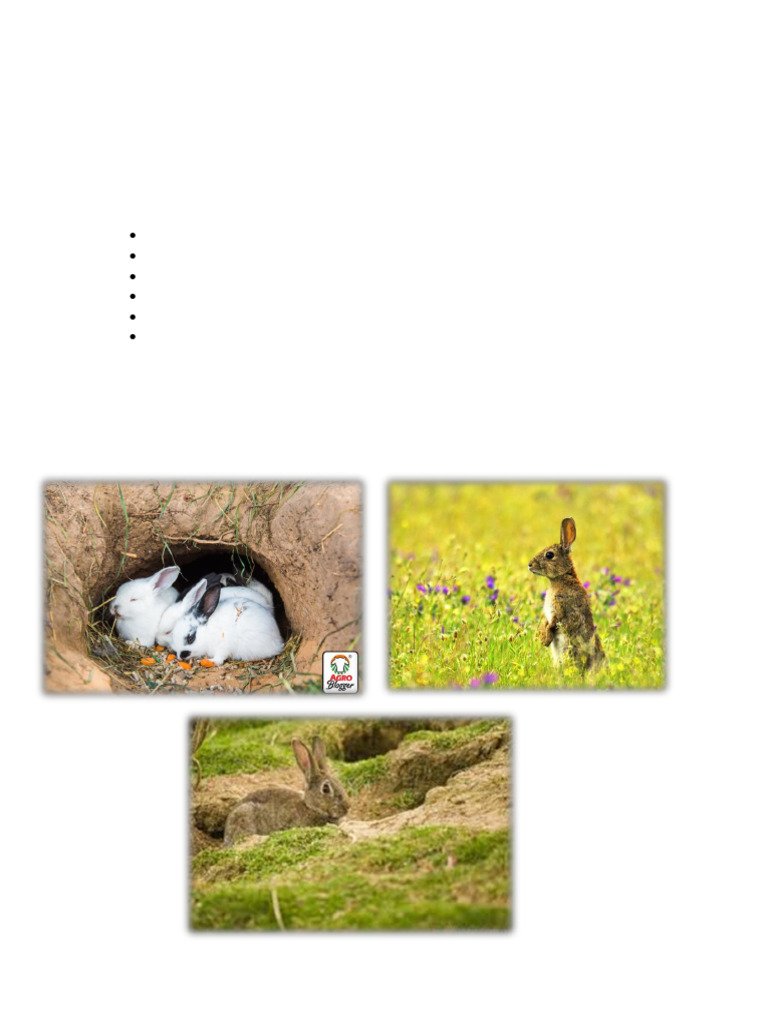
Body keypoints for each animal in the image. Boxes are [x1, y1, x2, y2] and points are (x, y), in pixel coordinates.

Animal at [528, 517, 606, 672]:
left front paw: (545, 640)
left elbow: (554, 623)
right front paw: (542, 636)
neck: (562, 578)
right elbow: (547, 622)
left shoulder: (563, 609)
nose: (529, 565)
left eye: (549, 555)